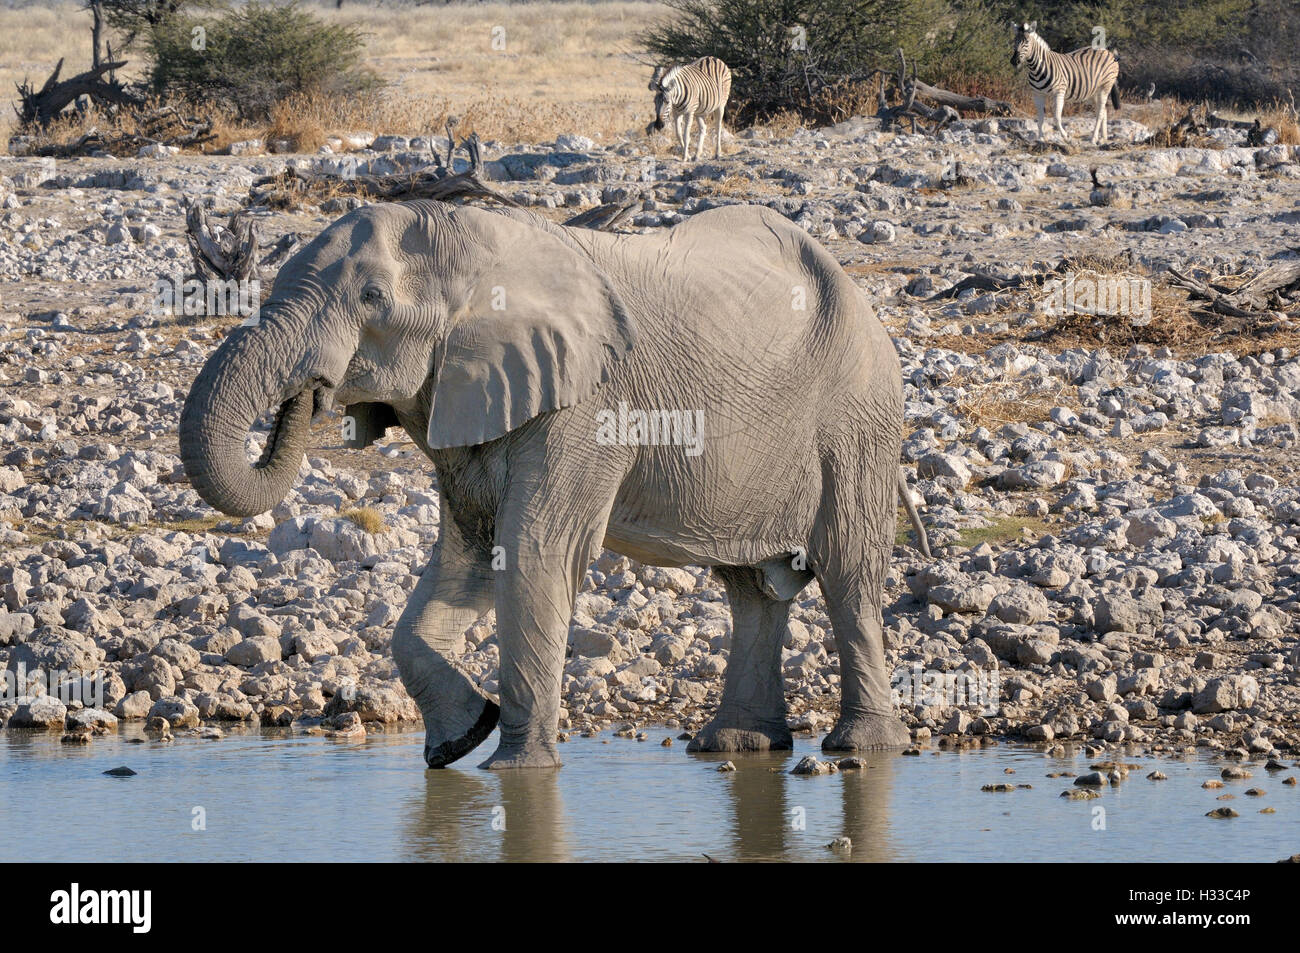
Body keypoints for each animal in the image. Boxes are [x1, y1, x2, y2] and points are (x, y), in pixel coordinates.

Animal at [179, 199, 923, 769]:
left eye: (372, 300)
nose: (305, 397)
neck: (476, 243)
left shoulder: (585, 405)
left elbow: (535, 550)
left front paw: (516, 771)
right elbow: (468, 558)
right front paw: (460, 739)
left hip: (858, 418)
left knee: (848, 572)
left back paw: (860, 745)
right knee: (750, 591)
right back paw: (734, 745)